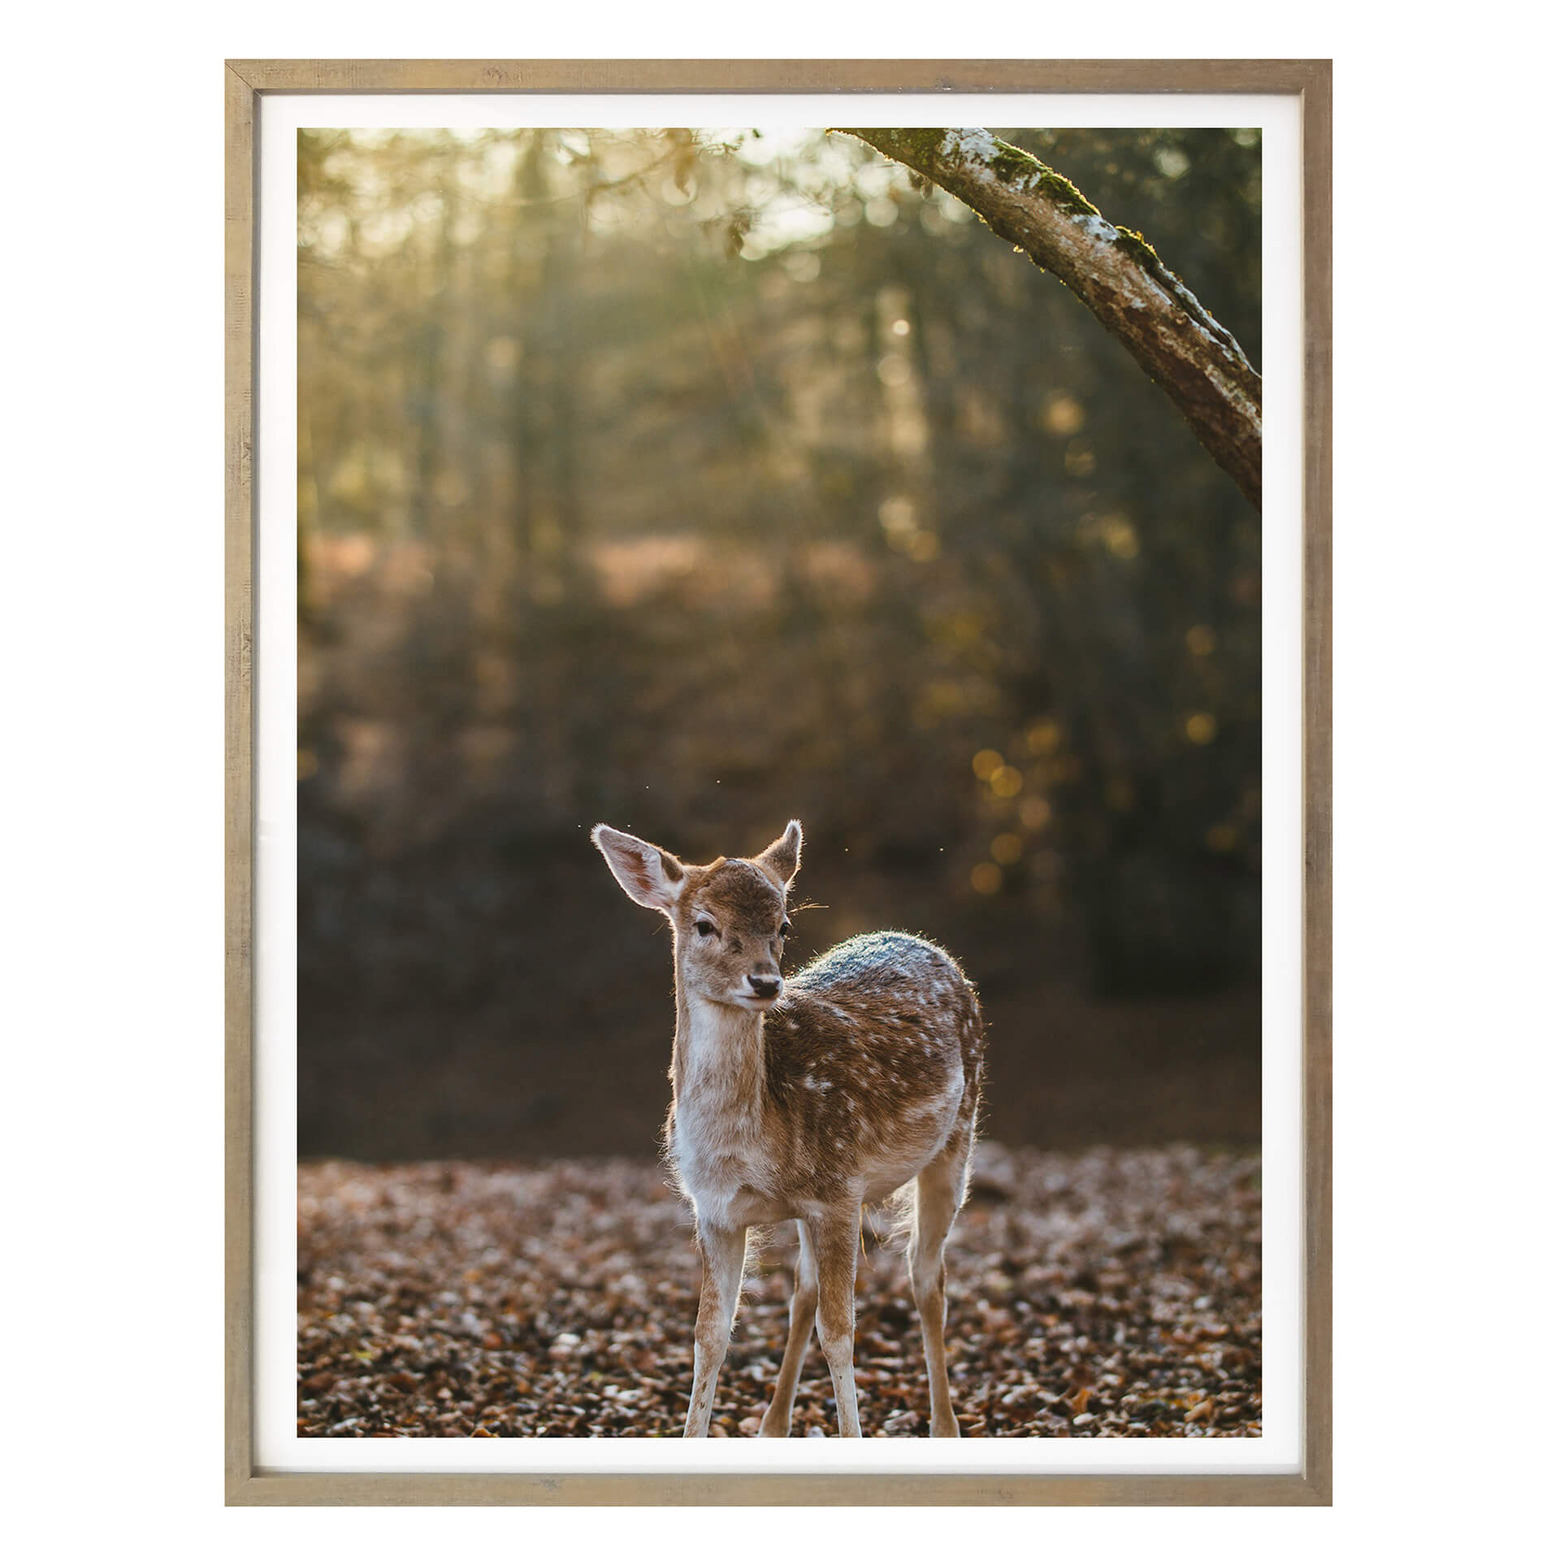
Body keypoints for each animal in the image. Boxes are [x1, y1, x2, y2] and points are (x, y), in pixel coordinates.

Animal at [591, 819, 986, 1438]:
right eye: (704, 924)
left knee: (928, 1278)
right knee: (804, 1290)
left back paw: (945, 1428)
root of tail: (927, 944)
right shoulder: (715, 1211)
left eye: (783, 925)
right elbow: (709, 1336)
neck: (746, 1148)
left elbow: (841, 1334)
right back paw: (772, 1425)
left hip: (957, 1137)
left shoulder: (841, 1191)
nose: (765, 982)